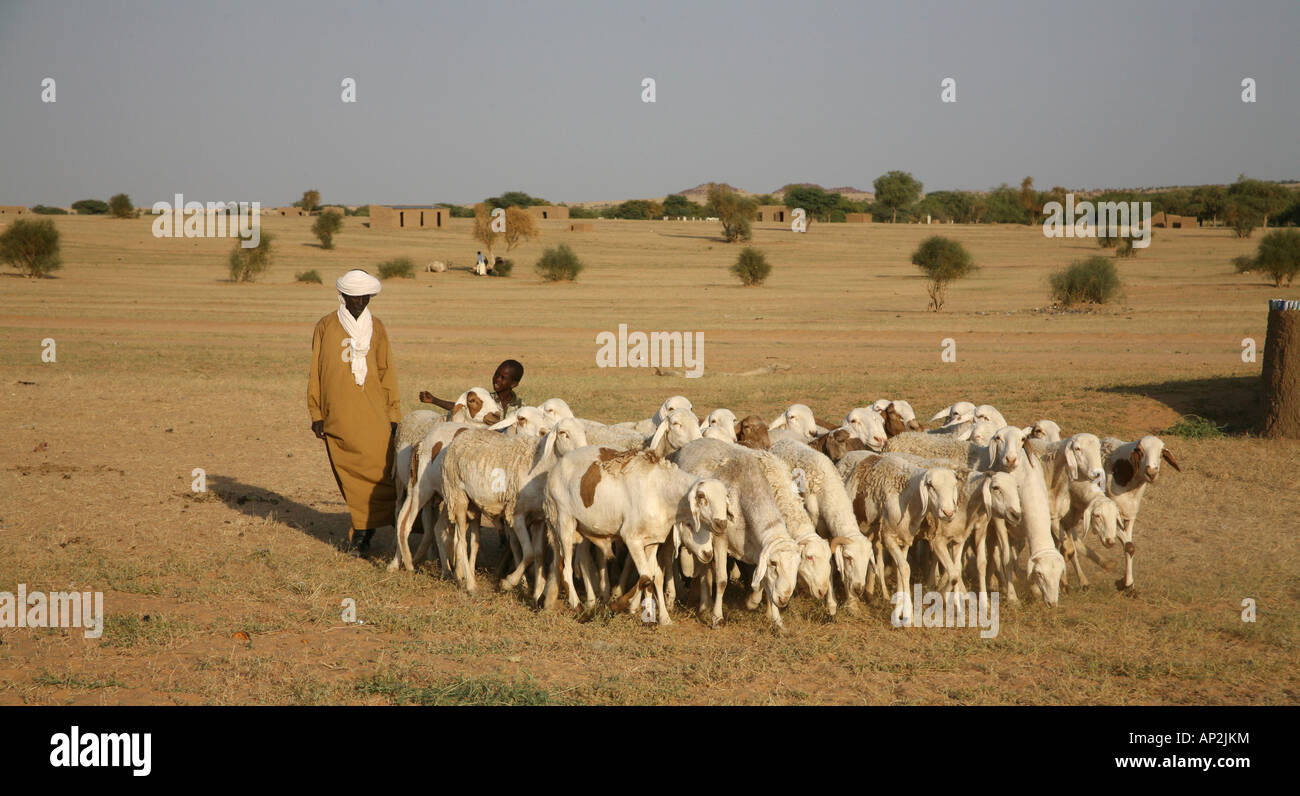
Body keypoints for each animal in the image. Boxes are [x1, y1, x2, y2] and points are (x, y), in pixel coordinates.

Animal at [543, 446, 732, 623]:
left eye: (725, 499)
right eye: (702, 496)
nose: (721, 524)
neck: (662, 491)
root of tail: (555, 469)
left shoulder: (652, 540)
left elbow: (652, 577)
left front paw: (655, 617)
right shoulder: (631, 538)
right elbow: (646, 577)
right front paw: (616, 605)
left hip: (580, 528)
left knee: (571, 562)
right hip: (563, 519)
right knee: (566, 568)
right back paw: (578, 607)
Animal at [670, 438, 803, 629]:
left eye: (798, 565)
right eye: (774, 563)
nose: (784, 600)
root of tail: (690, 443)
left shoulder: (758, 549)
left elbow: (765, 584)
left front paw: (776, 620)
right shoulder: (720, 540)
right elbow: (722, 580)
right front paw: (717, 618)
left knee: (704, 568)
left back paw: (704, 605)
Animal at [770, 438, 875, 612]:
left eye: (868, 559)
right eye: (848, 558)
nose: (858, 589)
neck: (827, 488)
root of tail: (782, 441)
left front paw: (852, 603)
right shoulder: (818, 527)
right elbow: (830, 564)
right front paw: (831, 603)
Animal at [842, 453, 961, 619]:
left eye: (954, 485)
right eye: (930, 485)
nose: (948, 513)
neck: (908, 498)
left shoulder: (905, 540)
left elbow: (900, 570)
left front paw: (899, 606)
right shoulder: (888, 537)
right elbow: (905, 569)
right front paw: (907, 613)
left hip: (871, 531)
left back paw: (869, 592)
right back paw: (851, 602)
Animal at [1098, 435, 1181, 591]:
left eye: (1161, 454)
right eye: (1141, 452)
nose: (1151, 473)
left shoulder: (1129, 516)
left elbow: (1129, 547)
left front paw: (1128, 584)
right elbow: (1129, 546)